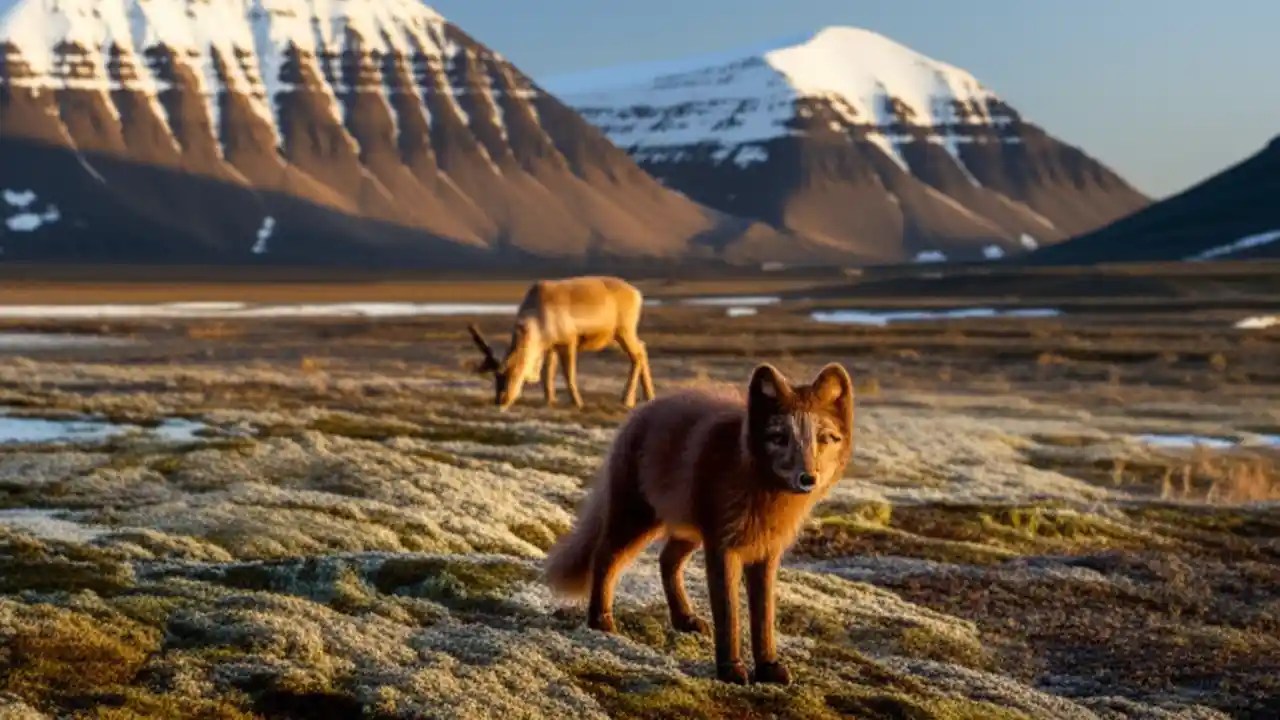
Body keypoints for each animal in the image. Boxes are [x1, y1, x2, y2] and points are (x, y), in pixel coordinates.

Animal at [466, 276, 656, 411]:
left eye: (512, 373)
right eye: (495, 377)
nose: (500, 401)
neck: (537, 318)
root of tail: (637, 293)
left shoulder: (568, 341)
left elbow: (568, 375)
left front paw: (578, 403)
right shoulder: (551, 347)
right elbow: (547, 375)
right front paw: (550, 401)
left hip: (624, 331)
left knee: (637, 354)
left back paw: (627, 399)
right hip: (620, 335)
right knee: (643, 347)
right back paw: (649, 396)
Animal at [544, 362, 855, 685]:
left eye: (825, 438)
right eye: (780, 438)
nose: (808, 478)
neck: (755, 483)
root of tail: (643, 409)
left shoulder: (766, 552)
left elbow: (764, 615)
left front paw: (768, 666)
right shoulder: (722, 547)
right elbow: (728, 613)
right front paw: (731, 670)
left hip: (687, 533)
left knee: (666, 560)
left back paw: (684, 618)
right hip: (636, 520)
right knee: (604, 557)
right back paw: (600, 621)